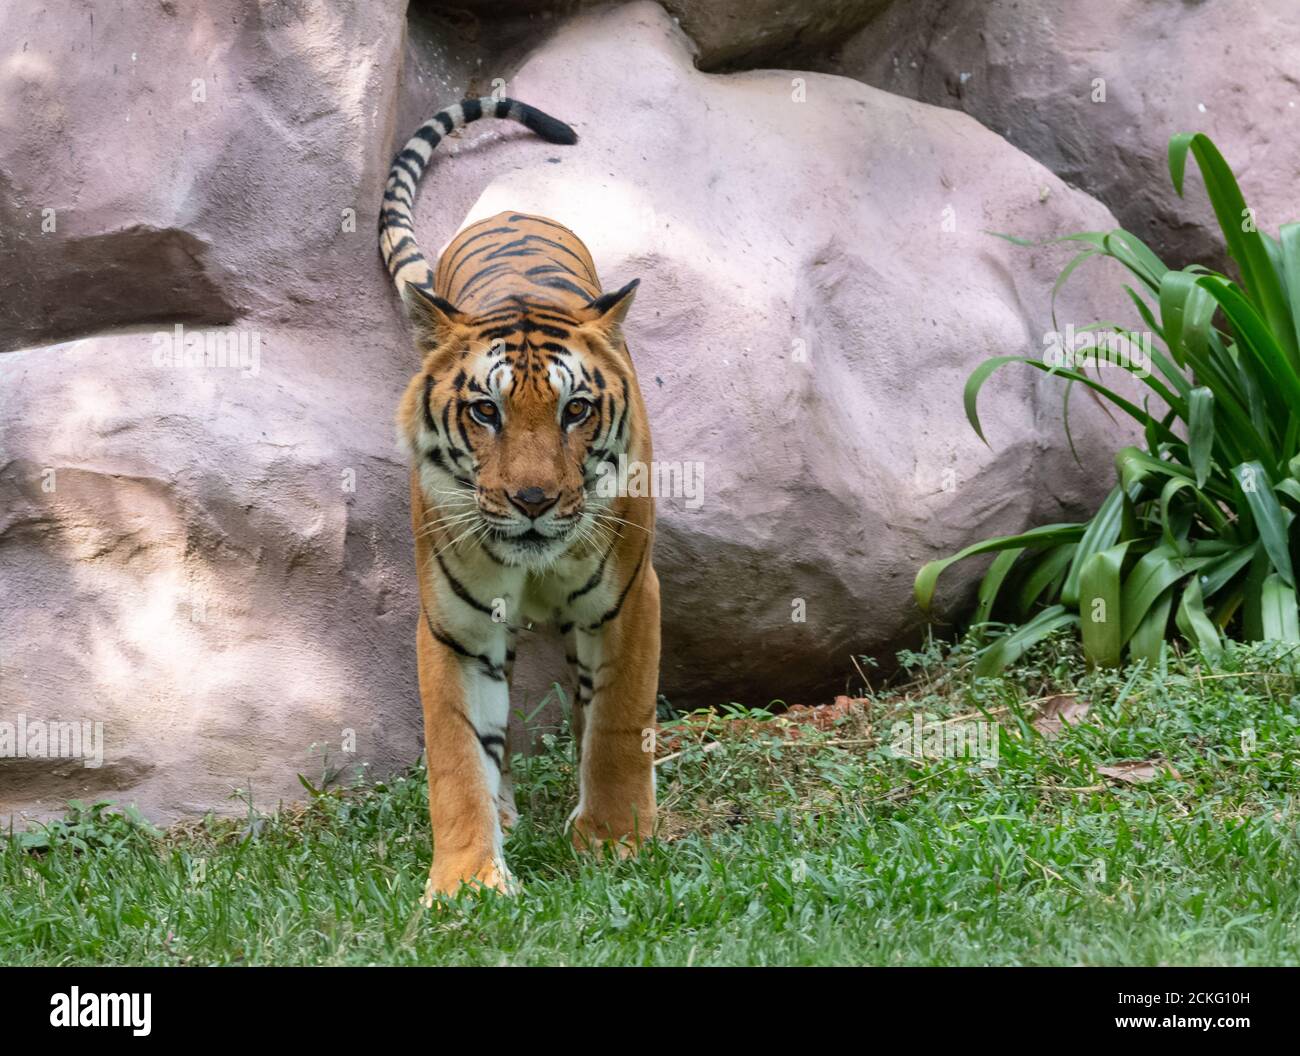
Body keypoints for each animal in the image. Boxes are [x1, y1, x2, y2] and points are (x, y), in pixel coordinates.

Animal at [378, 97, 660, 901]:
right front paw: (468, 881)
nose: (532, 499)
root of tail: (511, 209)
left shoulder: (630, 598)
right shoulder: (455, 627)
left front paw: (616, 841)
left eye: (575, 411)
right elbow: (458, 755)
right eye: (485, 412)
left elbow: (620, 722)